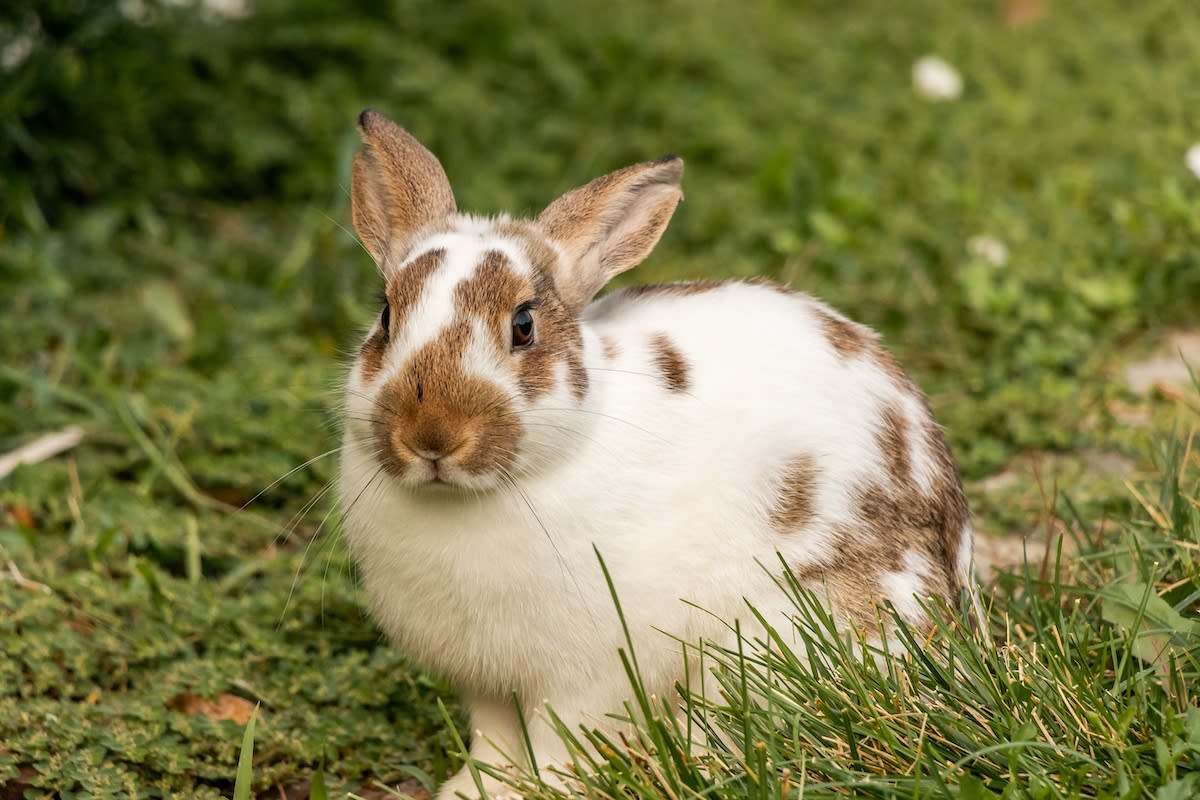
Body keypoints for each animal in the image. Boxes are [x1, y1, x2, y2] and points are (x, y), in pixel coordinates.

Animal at [337, 109, 983, 799]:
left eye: (523, 325)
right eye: (385, 317)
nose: (431, 435)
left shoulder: (589, 677)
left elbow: (563, 739)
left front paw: (551, 787)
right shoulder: (485, 685)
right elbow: (495, 742)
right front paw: (474, 789)